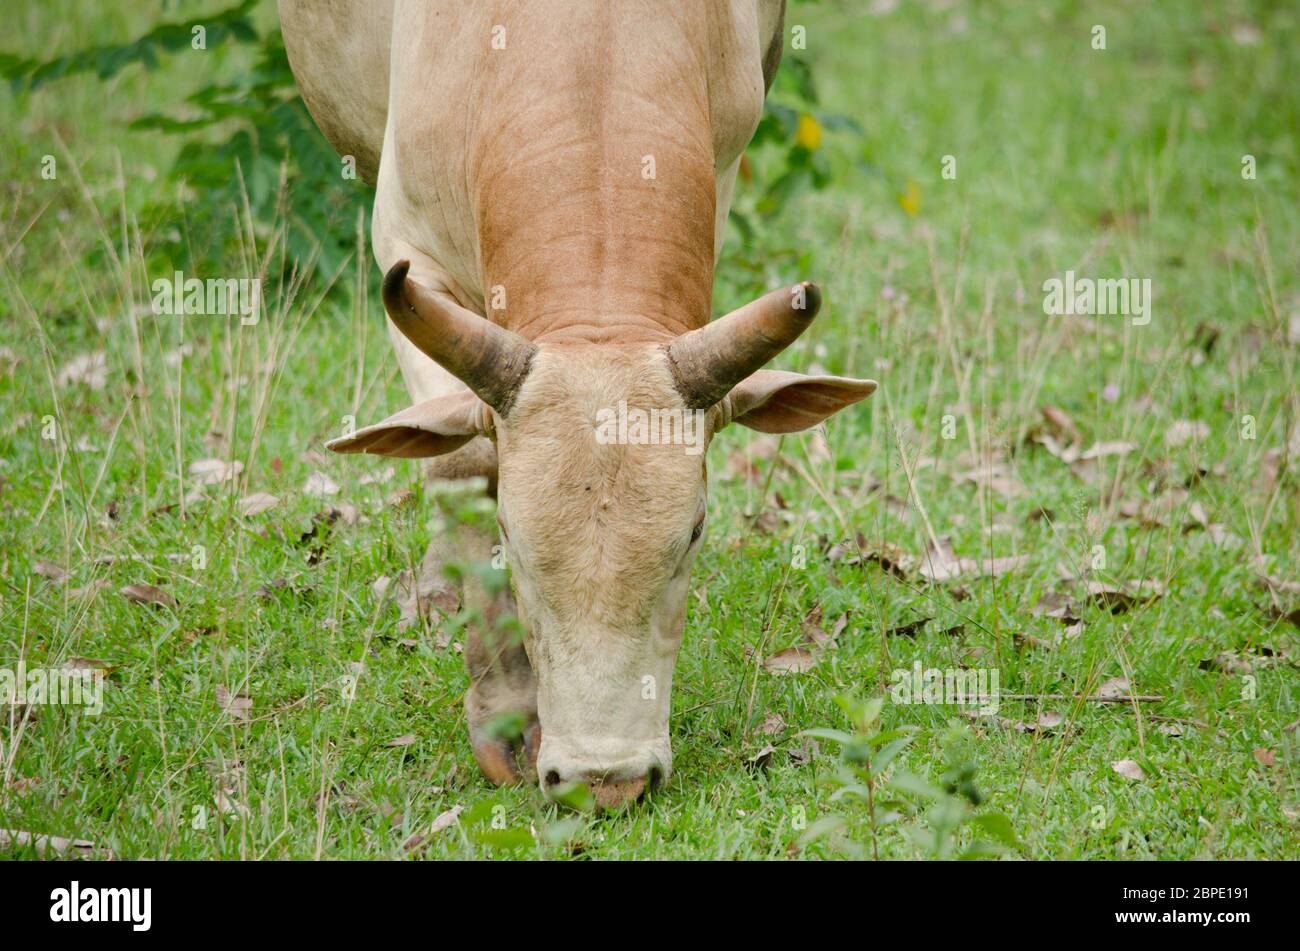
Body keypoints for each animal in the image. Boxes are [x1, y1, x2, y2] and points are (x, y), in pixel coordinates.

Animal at [279, 0, 876, 808]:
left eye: (693, 534)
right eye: (511, 535)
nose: (604, 780)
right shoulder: (407, 244)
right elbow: (462, 465)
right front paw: (504, 715)